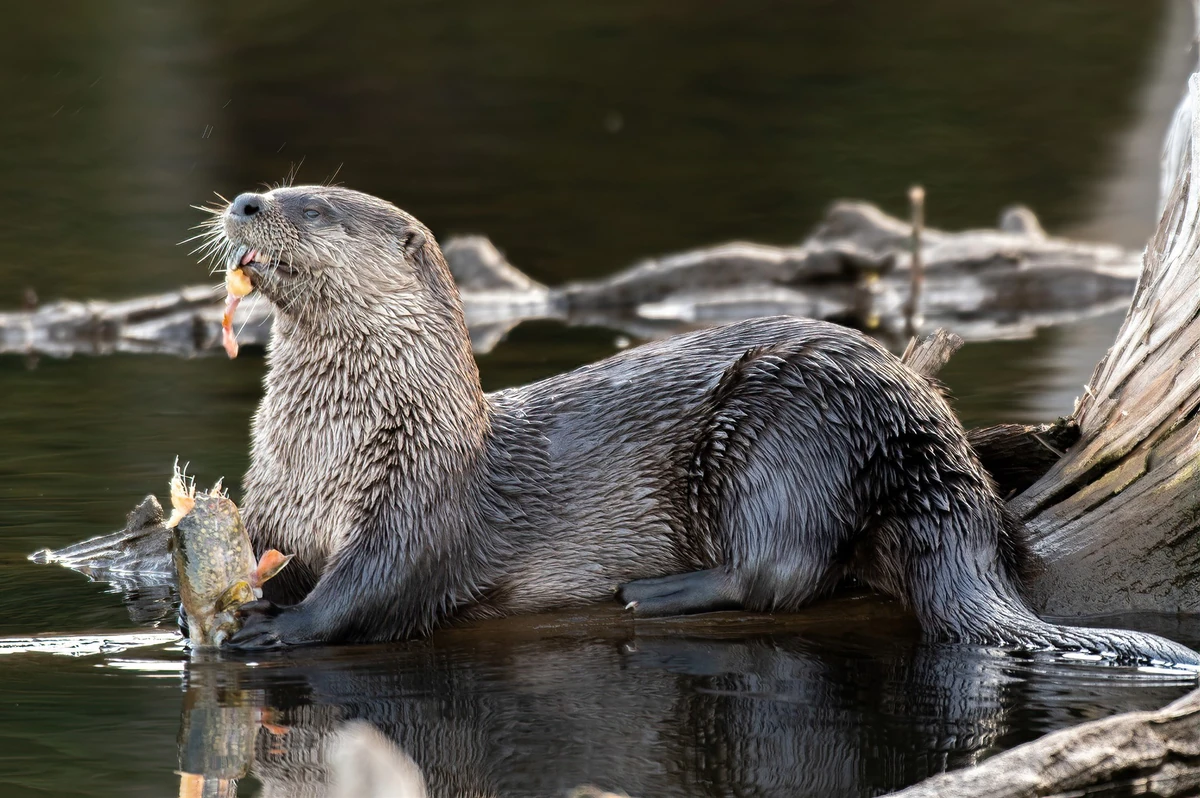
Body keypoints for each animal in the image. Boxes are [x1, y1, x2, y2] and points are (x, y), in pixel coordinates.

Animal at [205, 185, 1197, 666]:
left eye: (315, 206)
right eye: (275, 188)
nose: (247, 202)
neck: (337, 444)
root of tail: (924, 427)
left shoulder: (418, 500)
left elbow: (372, 591)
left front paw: (273, 632)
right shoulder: (281, 509)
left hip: (783, 432)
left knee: (785, 570)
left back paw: (657, 591)